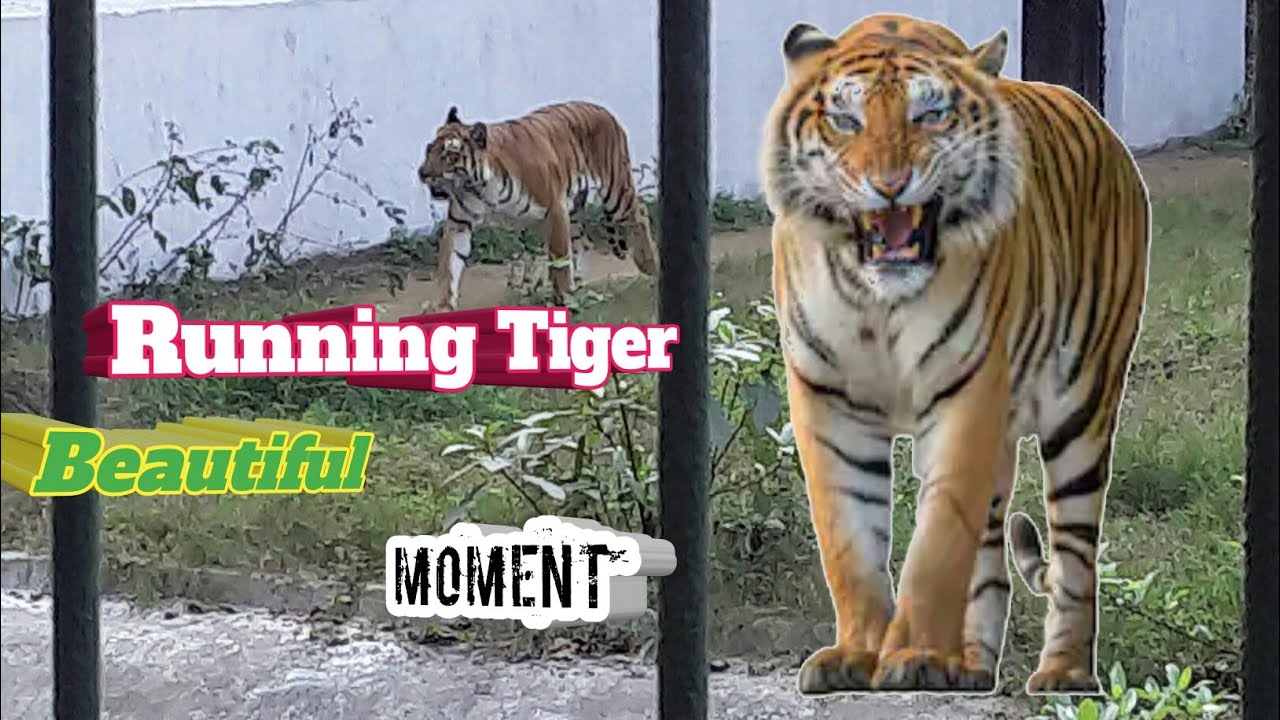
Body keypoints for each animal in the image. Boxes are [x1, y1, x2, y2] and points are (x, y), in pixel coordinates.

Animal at [416, 102, 658, 311]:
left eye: (449, 155)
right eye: (429, 150)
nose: (422, 174)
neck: (479, 186)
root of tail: (603, 110)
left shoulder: (554, 209)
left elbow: (559, 260)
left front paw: (563, 299)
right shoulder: (459, 223)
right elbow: (448, 264)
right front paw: (441, 306)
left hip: (615, 190)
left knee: (640, 213)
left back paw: (650, 266)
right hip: (574, 207)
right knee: (585, 243)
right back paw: (578, 283)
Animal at [760, 13, 1149, 696]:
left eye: (930, 115)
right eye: (846, 121)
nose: (889, 187)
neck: (877, 300)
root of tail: (1098, 119)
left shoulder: (967, 395)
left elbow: (938, 545)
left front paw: (913, 655)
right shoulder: (829, 400)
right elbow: (849, 538)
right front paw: (857, 653)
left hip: (1083, 408)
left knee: (1074, 554)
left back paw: (1063, 672)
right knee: (990, 550)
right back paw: (970, 664)